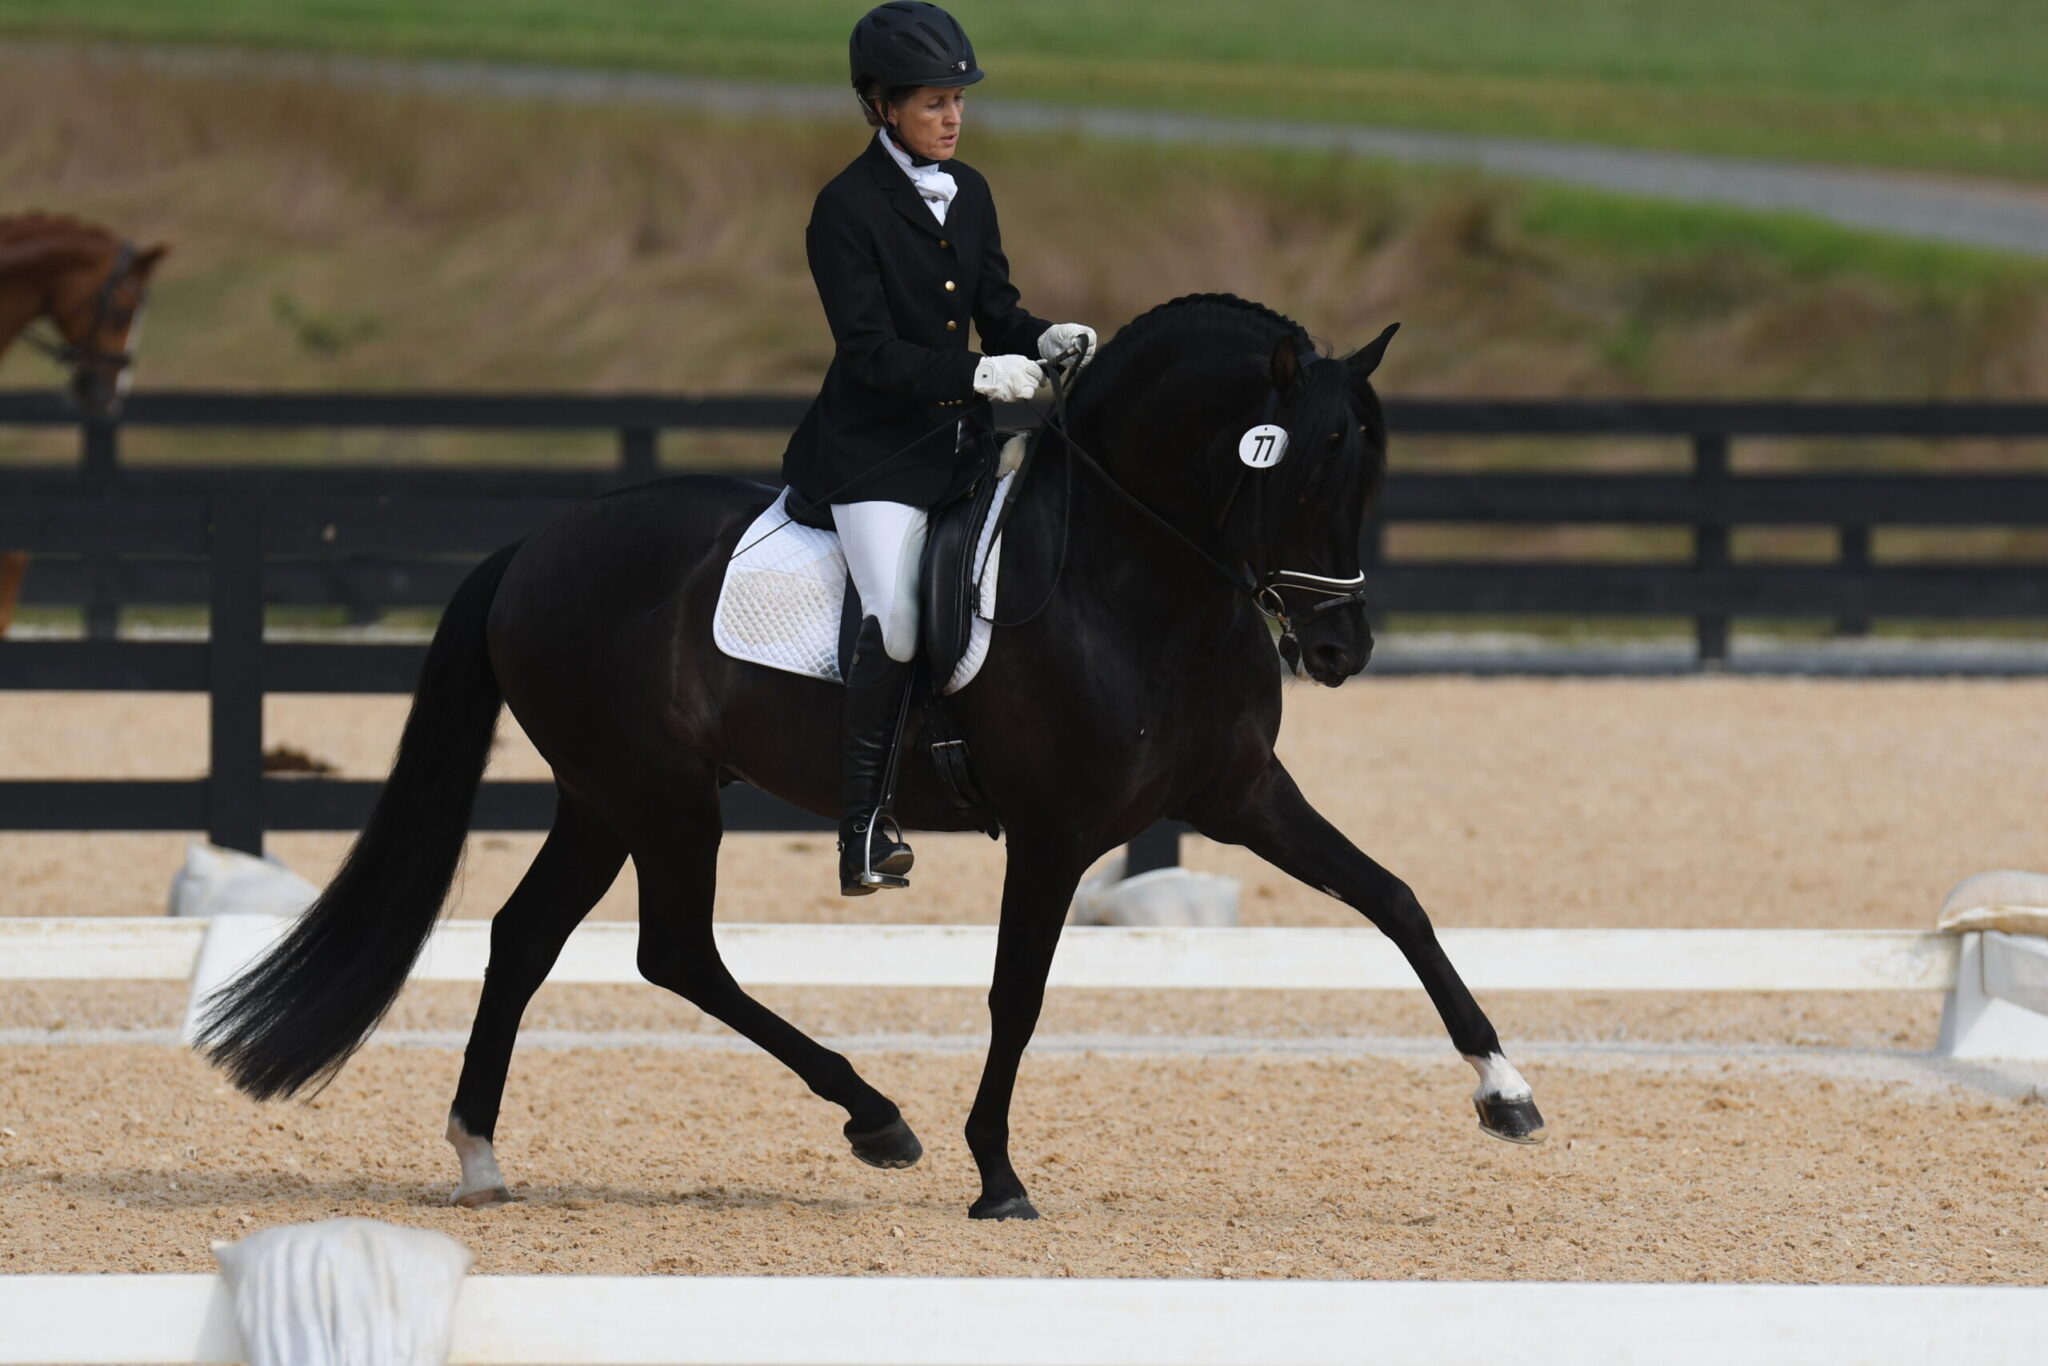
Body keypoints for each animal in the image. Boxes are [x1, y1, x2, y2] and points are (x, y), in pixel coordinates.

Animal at [198, 292, 1545, 1222]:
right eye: (1297, 472)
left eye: (1365, 472)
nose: (1338, 647)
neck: (1131, 583)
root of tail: (533, 544)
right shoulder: (1055, 833)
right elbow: (1016, 993)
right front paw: (995, 1172)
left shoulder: (1240, 794)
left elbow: (1393, 899)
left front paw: (1505, 1092)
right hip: (661, 795)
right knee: (673, 950)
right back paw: (876, 1117)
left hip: (601, 797)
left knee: (528, 939)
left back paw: (481, 1151)